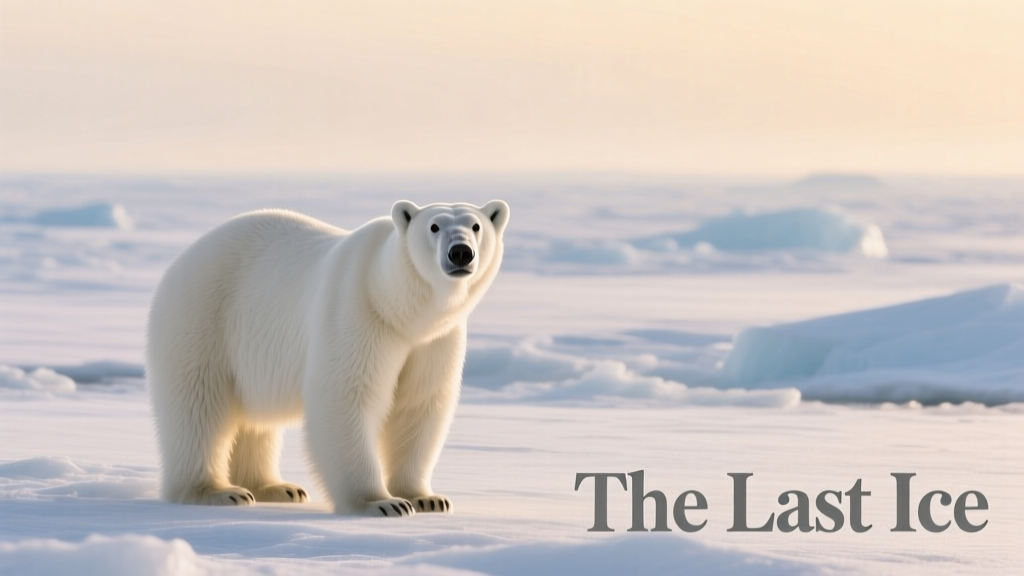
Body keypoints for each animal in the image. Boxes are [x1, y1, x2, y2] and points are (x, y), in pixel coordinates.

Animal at [146, 200, 509, 516]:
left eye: (476, 225)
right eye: (434, 226)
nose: (460, 252)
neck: (398, 305)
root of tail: (183, 258)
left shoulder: (433, 341)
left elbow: (418, 405)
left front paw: (426, 498)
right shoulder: (359, 313)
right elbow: (347, 396)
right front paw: (382, 503)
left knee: (256, 420)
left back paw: (275, 487)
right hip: (203, 321)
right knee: (199, 407)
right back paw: (218, 491)